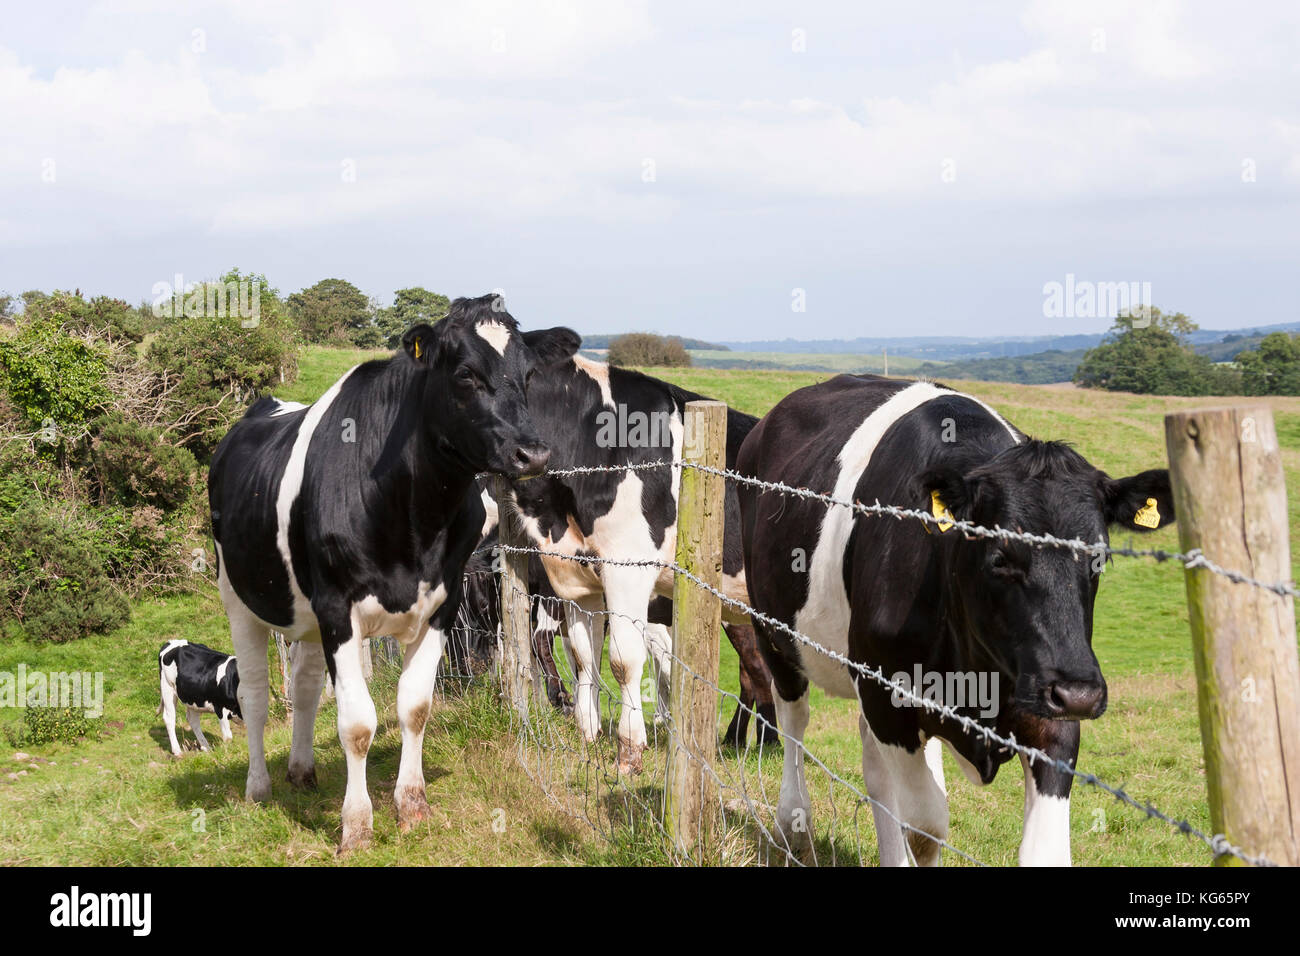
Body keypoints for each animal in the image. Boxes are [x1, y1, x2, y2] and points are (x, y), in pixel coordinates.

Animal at [208, 294, 579, 852]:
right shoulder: (339, 609)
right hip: (239, 596)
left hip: (308, 615)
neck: (414, 515)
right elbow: (357, 724)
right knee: (253, 692)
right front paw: (357, 826)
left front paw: (412, 806)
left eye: (530, 373)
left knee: (304, 686)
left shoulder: (441, 605)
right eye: (465, 374)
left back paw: (301, 769)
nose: (533, 453)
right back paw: (259, 787)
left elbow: (415, 707)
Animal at [501, 353, 777, 774]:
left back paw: (758, 744)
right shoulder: (575, 577)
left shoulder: (624, 570)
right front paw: (588, 732)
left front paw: (629, 750)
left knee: (758, 674)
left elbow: (623, 660)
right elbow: (584, 656)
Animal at [736, 375, 1175, 866]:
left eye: (1100, 555)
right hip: (773, 632)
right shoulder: (888, 696)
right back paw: (793, 824)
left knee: (875, 771)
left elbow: (1041, 849)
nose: (1079, 693)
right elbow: (927, 828)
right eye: (999, 557)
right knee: (794, 718)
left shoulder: (1048, 704)